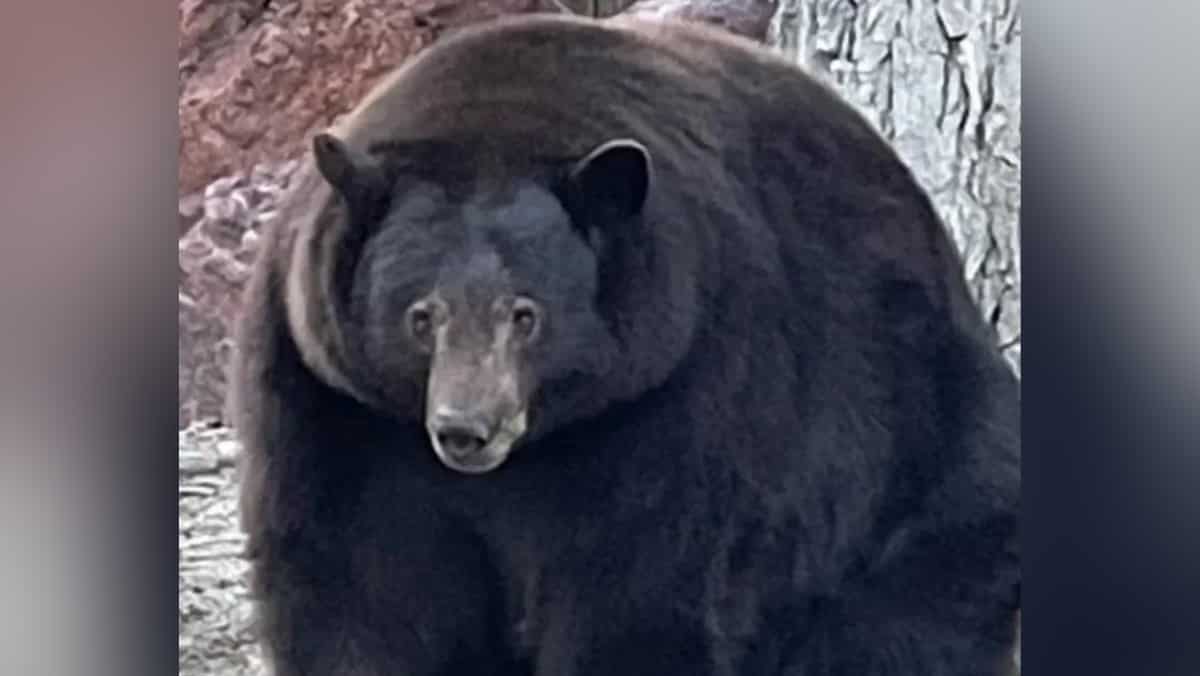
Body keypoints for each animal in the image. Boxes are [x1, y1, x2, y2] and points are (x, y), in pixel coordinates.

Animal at [230, 12, 1020, 676]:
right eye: (421, 316)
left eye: (527, 314)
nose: (466, 429)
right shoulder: (336, 403)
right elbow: (360, 585)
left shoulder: (684, 380)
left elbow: (642, 584)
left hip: (914, 459)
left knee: (902, 618)